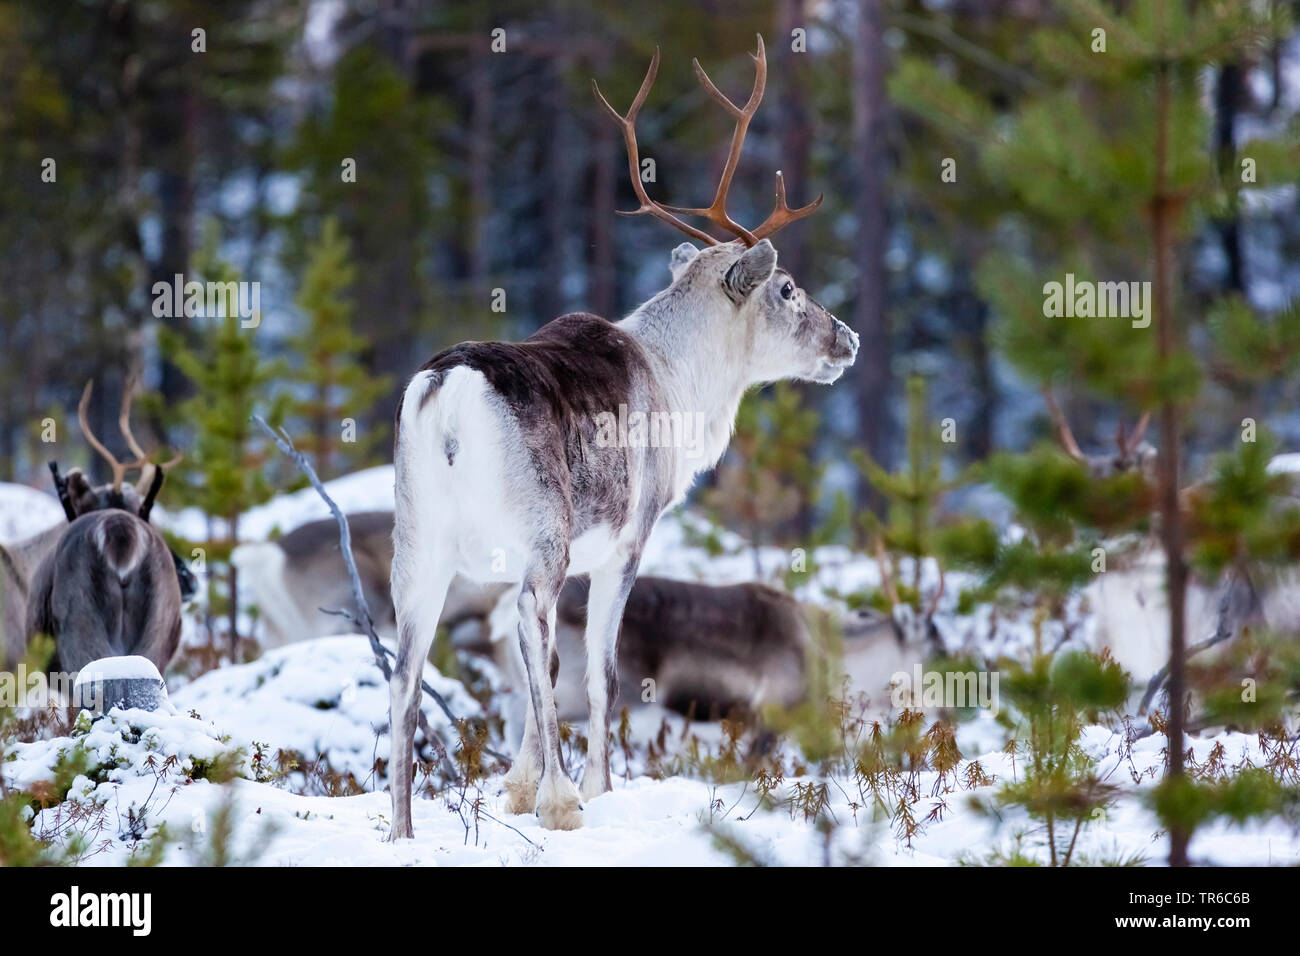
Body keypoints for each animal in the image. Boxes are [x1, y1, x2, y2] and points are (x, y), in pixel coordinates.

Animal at [387, 36, 857, 836]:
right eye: (788, 287)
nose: (847, 338)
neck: (684, 387)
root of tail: (446, 398)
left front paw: (514, 787)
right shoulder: (625, 542)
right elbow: (603, 673)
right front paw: (587, 788)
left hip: (418, 545)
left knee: (404, 672)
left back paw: (401, 828)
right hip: (542, 532)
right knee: (529, 625)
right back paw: (562, 800)